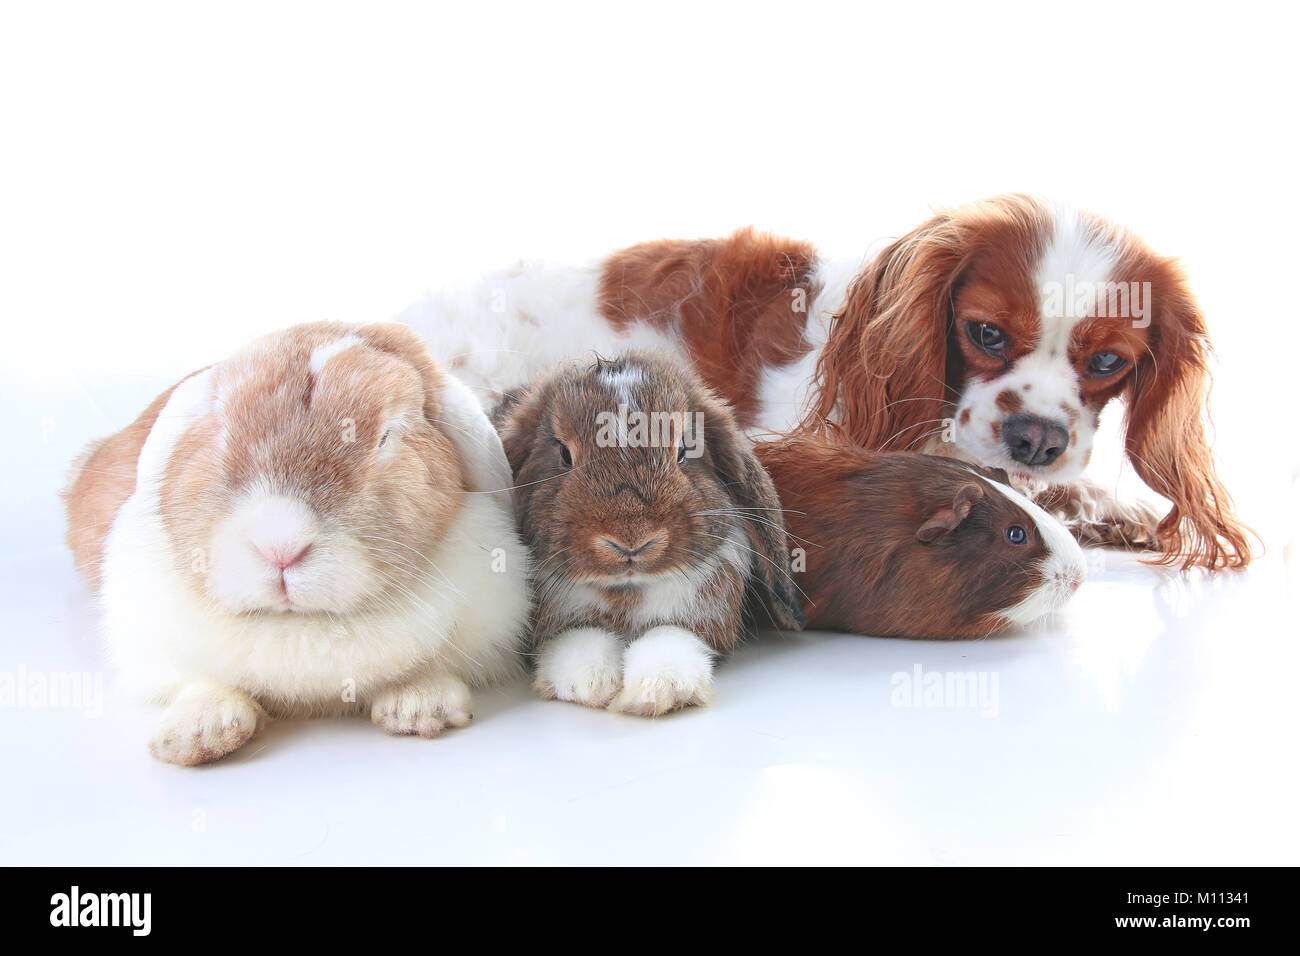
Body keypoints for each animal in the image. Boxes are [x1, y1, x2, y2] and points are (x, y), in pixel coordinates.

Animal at [63, 321, 531, 765]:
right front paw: (199, 733)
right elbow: (199, 682)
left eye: (386, 436)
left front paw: (419, 708)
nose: (279, 544)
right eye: (222, 430)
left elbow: (435, 669)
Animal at [491, 351, 804, 716]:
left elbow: (671, 638)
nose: (631, 540)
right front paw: (594, 685)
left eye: (683, 449)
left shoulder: (701, 621)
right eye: (564, 454)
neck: (627, 593)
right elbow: (578, 640)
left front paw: (657, 689)